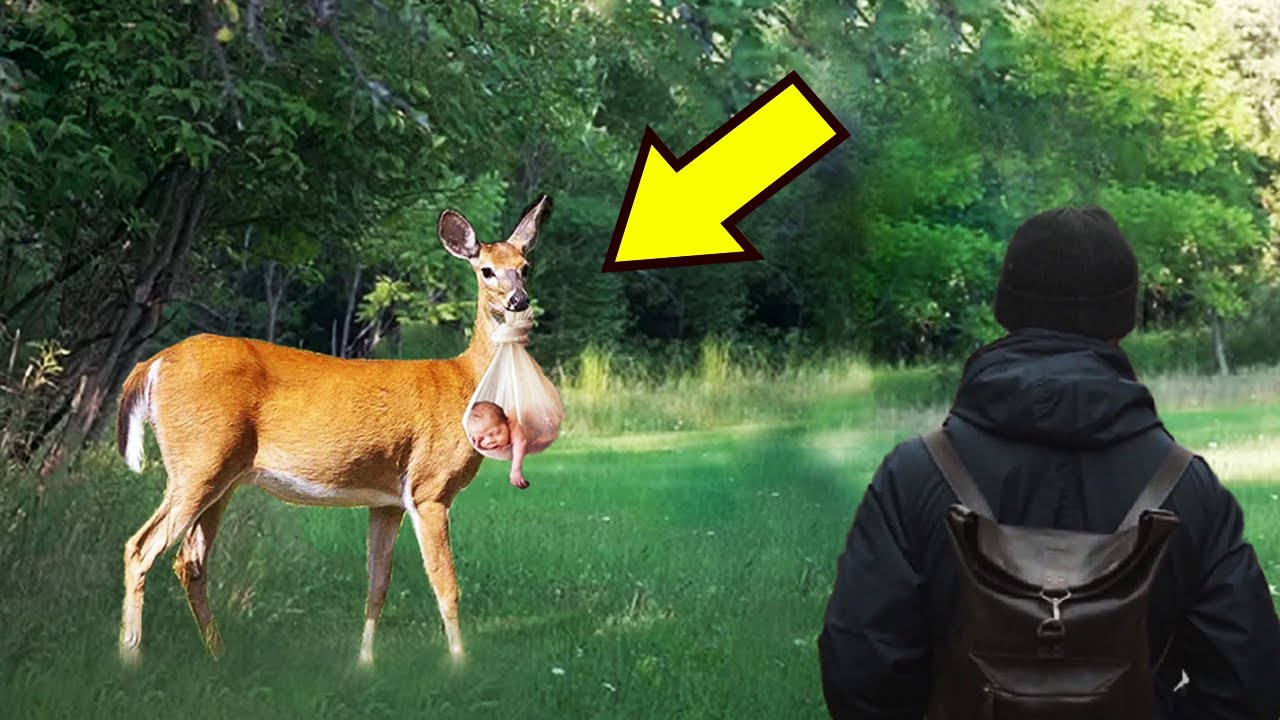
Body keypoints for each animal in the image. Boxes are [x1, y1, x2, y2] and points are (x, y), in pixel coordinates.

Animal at [114, 195, 552, 666]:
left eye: (525, 265)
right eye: (486, 269)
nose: (518, 300)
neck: (466, 383)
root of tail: (150, 364)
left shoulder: (388, 500)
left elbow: (377, 586)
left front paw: (364, 664)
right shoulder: (430, 487)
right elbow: (445, 586)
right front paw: (459, 664)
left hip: (221, 475)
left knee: (190, 560)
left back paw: (218, 655)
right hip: (199, 459)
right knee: (141, 547)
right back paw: (131, 657)